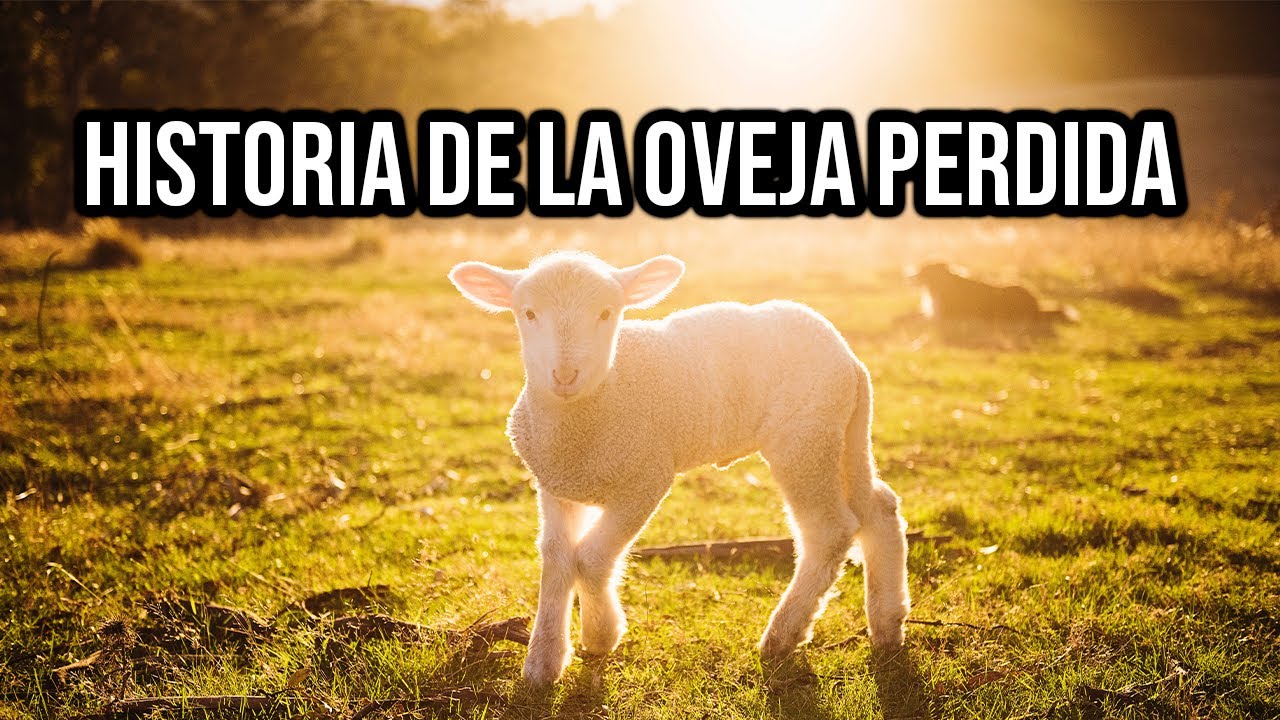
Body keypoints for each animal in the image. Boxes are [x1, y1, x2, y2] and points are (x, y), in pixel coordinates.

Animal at [448, 251, 910, 686]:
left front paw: (600, 635)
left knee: (829, 531)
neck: (591, 409)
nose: (564, 374)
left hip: (804, 439)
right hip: (843, 433)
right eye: (528, 313)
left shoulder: (646, 478)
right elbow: (557, 556)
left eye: (606, 313)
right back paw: (888, 624)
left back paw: (783, 634)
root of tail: (850, 358)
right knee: (879, 508)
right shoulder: (556, 483)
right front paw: (543, 661)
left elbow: (591, 558)